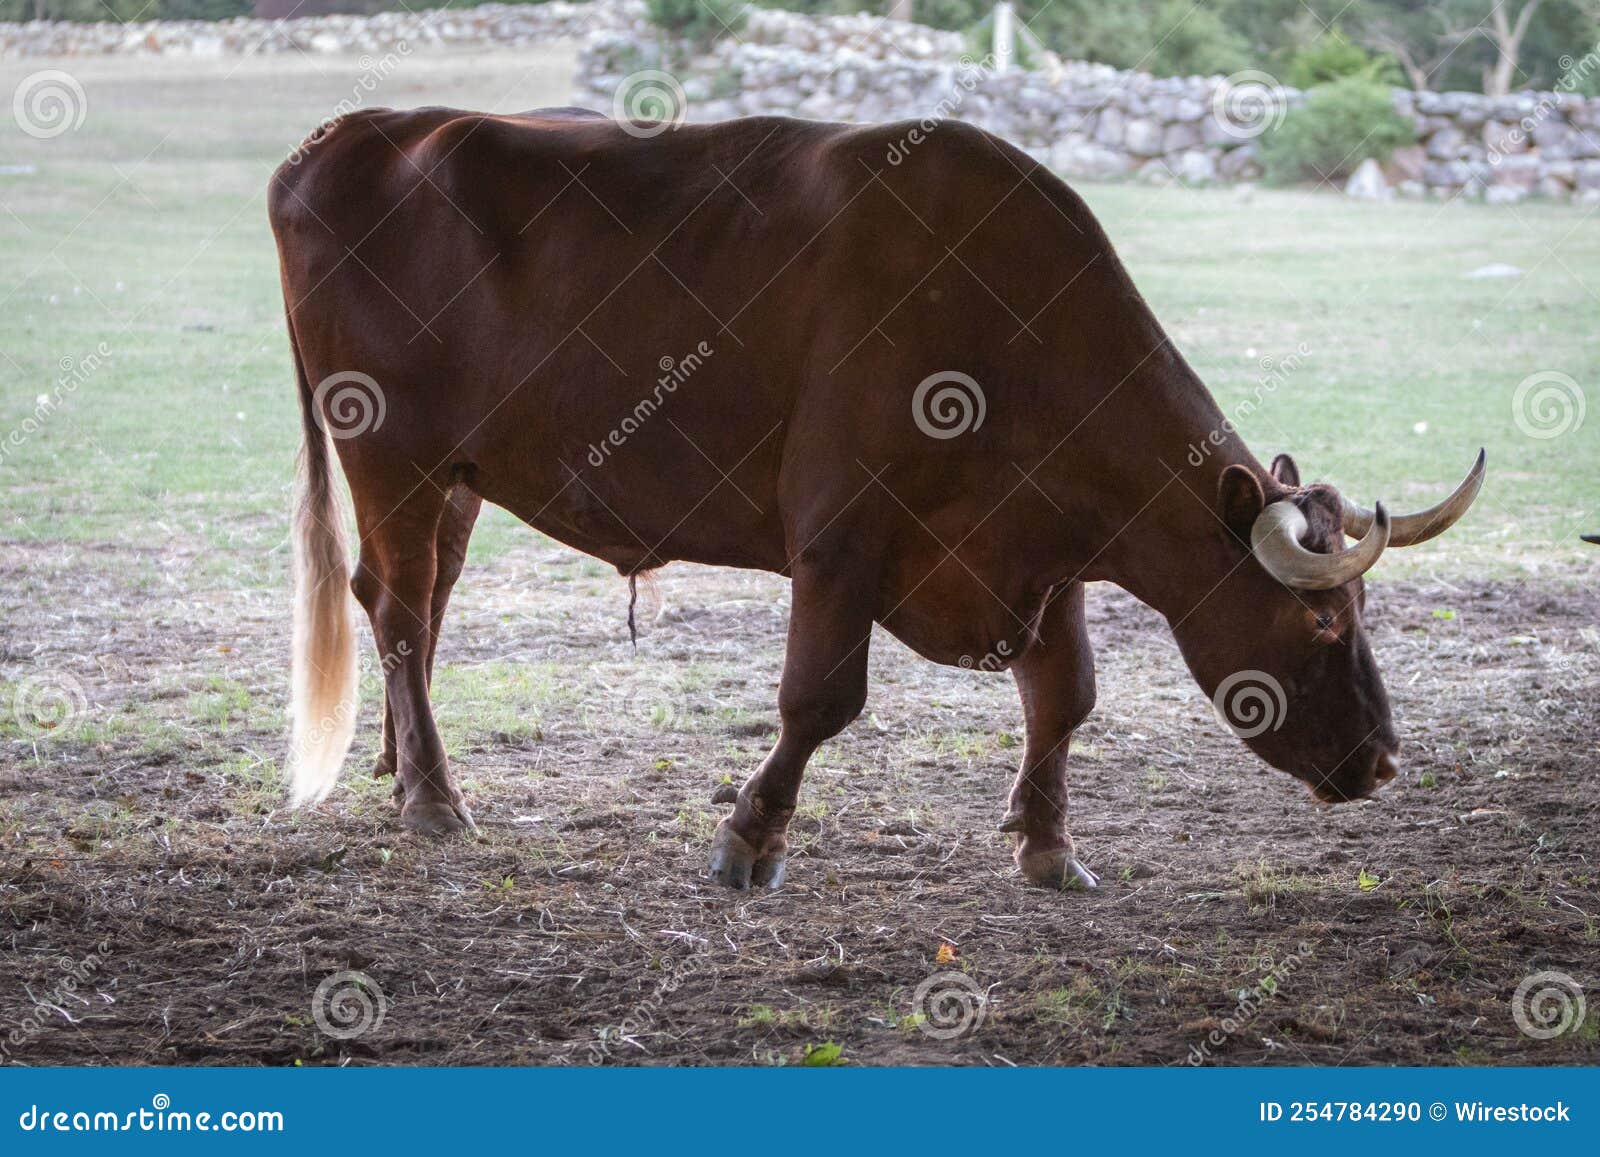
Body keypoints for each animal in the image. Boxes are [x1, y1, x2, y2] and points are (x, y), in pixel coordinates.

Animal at [269, 107, 1484, 891]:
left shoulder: (1046, 555)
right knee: (395, 605)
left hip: (455, 479)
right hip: (391, 454)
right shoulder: (840, 543)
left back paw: (400, 765)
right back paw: (434, 799)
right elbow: (820, 698)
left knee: (421, 605)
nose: (1384, 759)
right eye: (1319, 617)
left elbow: (1067, 698)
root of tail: (350, 135)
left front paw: (1047, 843)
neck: (1011, 326)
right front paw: (751, 837)